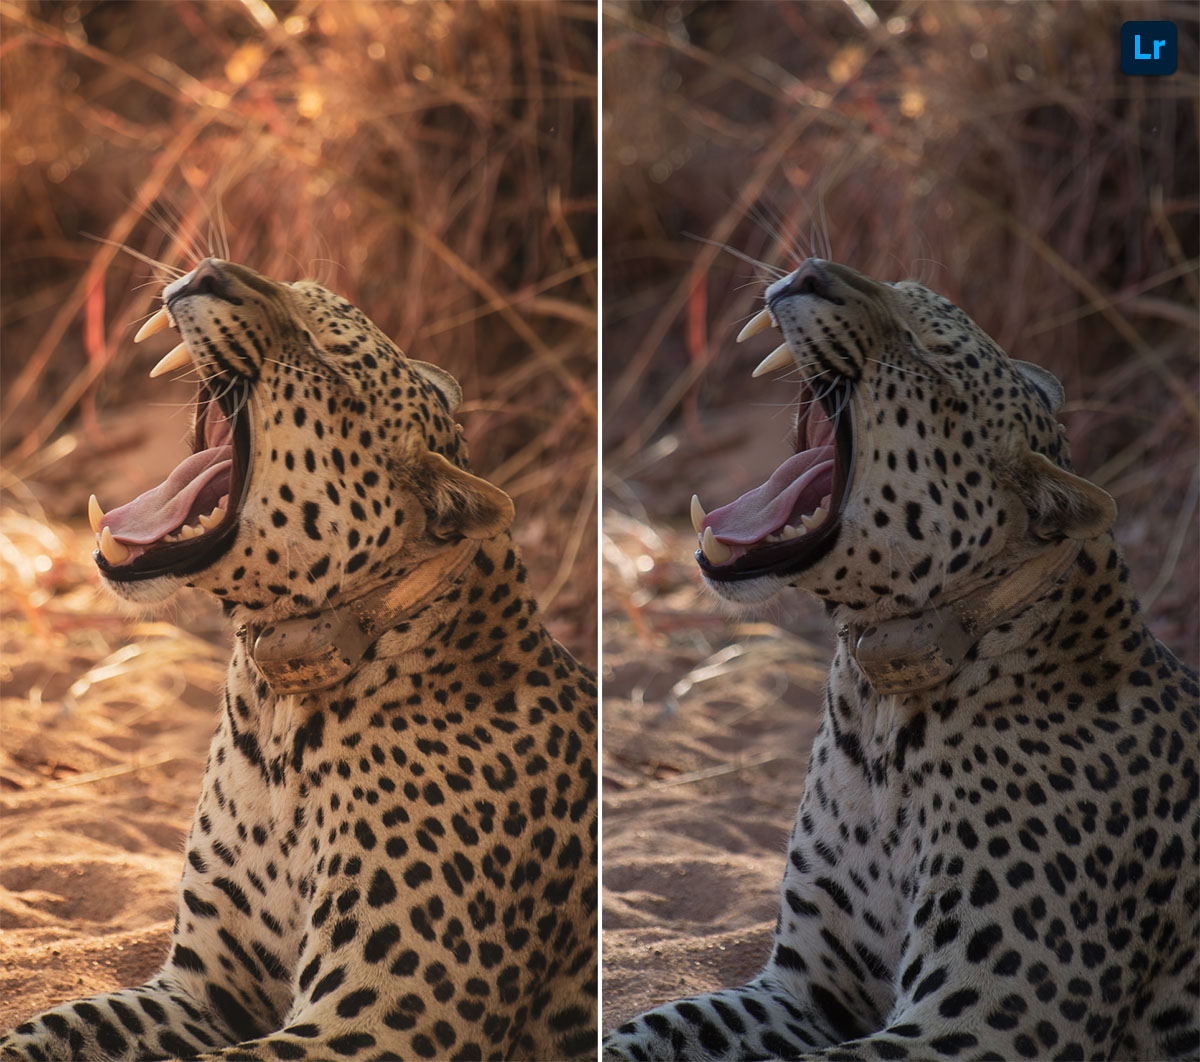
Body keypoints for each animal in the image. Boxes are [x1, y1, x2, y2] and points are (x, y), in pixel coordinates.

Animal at [1, 258, 598, 1062]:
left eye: (326, 355)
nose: (210, 271)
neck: (279, 715)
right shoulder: (205, 992)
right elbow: (57, 1024)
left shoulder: (380, 1021)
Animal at [604, 258, 1198, 1061]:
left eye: (930, 352)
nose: (812, 271)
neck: (882, 713)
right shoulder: (808, 991)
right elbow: (659, 1023)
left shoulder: (983, 1024)